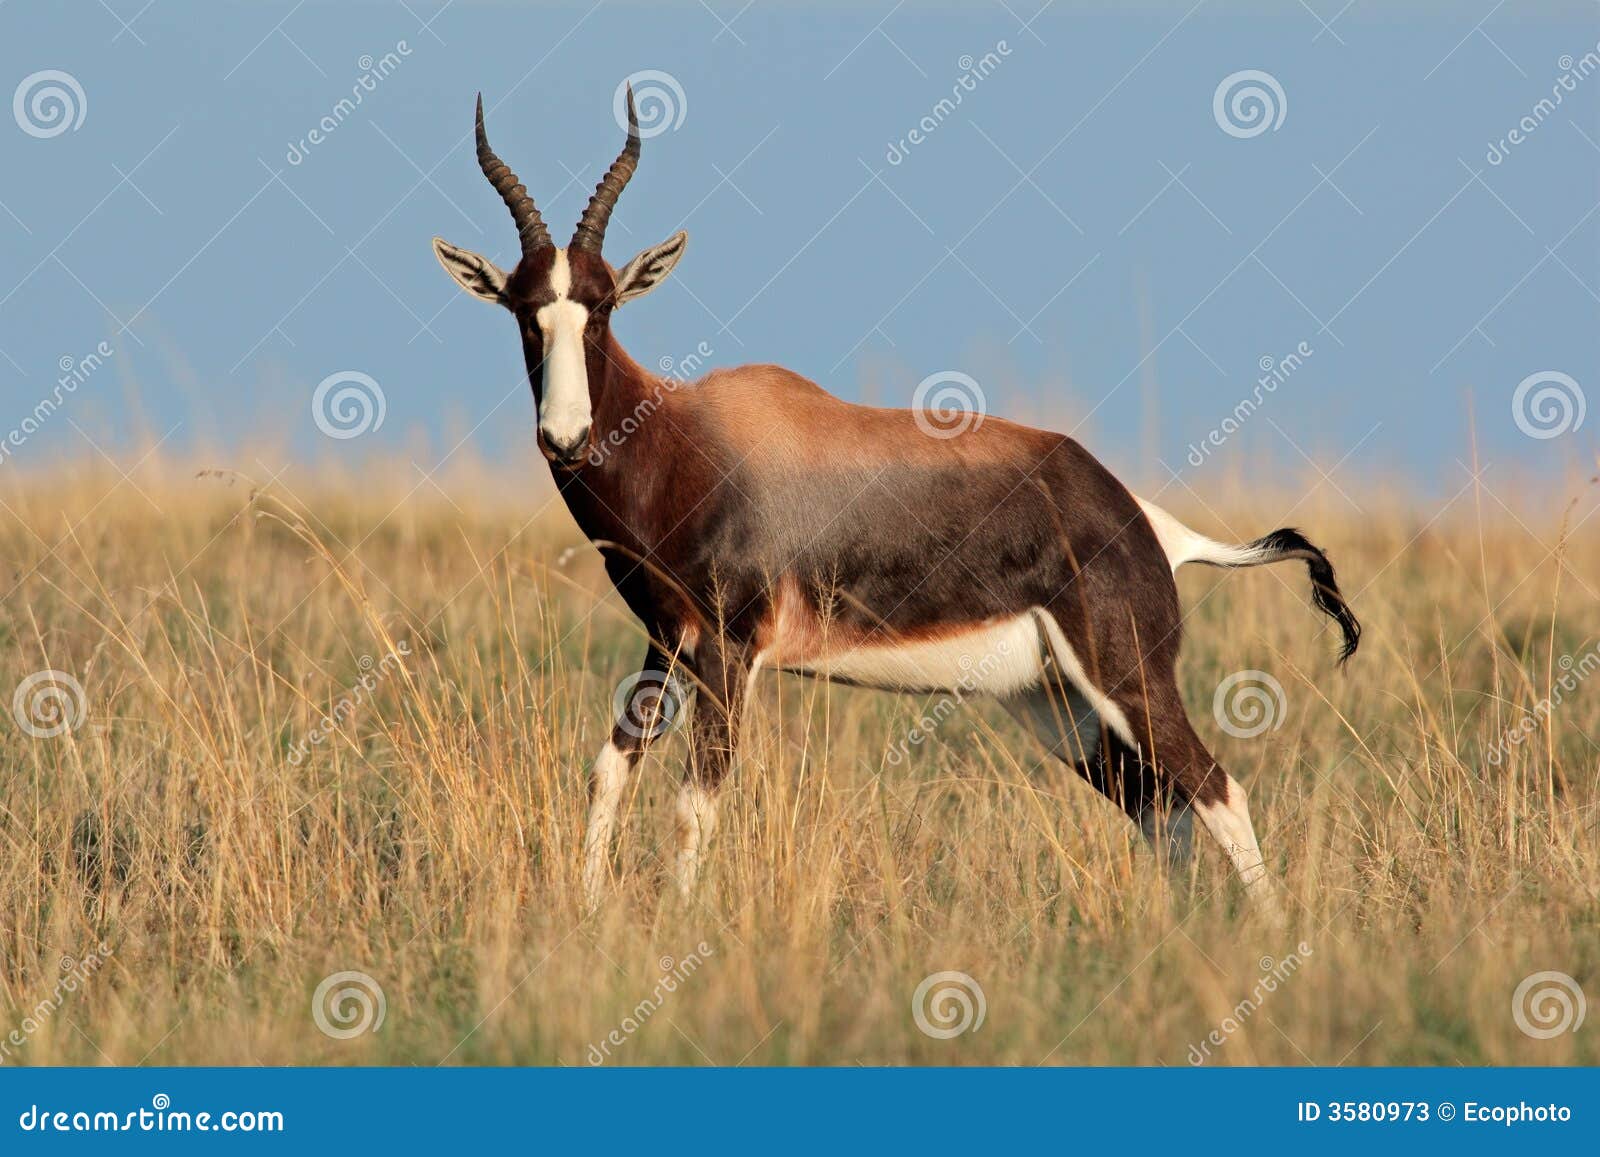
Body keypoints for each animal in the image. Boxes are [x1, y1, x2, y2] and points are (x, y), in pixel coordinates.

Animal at [433, 88, 1361, 914]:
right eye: (524, 310)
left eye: (601, 309)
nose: (564, 437)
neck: (688, 435)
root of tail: (1143, 518)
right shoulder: (667, 644)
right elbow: (610, 768)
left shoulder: (731, 654)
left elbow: (696, 802)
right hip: (1059, 707)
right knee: (1160, 811)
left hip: (1127, 677)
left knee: (1217, 790)